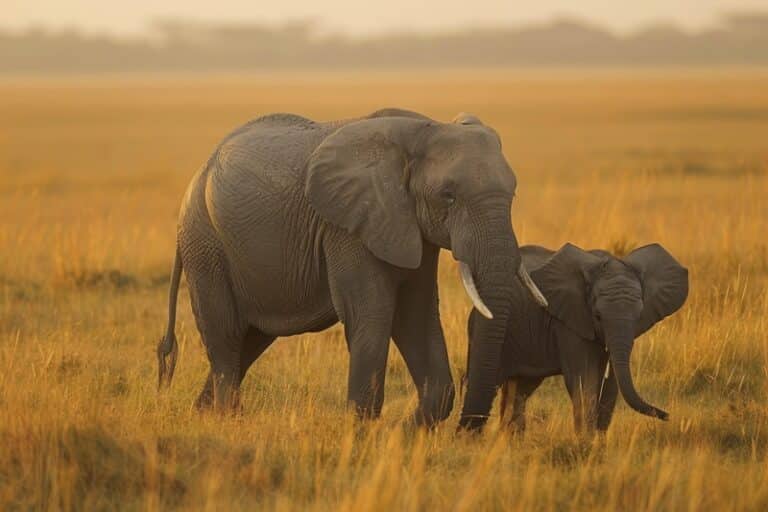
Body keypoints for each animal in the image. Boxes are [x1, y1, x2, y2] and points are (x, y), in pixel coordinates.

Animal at [155, 108, 547, 427]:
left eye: (513, 194)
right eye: (448, 196)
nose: (467, 431)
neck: (424, 128)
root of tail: (199, 172)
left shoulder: (412, 229)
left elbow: (416, 316)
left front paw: (404, 434)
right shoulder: (348, 227)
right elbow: (370, 314)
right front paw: (363, 434)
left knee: (250, 339)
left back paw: (204, 414)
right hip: (205, 244)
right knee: (225, 334)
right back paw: (228, 420)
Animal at [466, 242, 688, 433]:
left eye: (639, 315)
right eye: (597, 316)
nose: (667, 415)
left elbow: (611, 385)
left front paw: (598, 441)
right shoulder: (569, 323)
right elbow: (584, 380)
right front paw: (586, 443)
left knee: (520, 390)